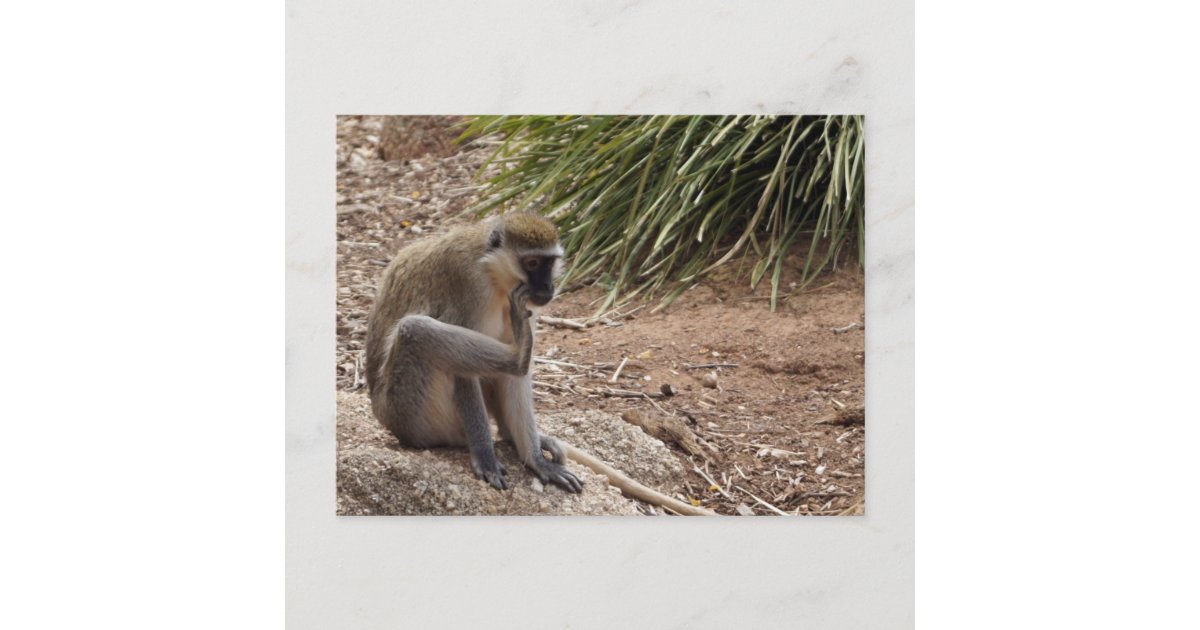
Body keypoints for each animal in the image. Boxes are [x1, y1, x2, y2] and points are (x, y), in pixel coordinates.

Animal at [363, 213, 582, 493]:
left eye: (549, 262)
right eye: (532, 263)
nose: (547, 285)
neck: (495, 275)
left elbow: (514, 382)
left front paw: (536, 460)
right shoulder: (468, 285)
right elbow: (463, 374)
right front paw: (486, 456)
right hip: (408, 416)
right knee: (413, 329)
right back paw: (519, 356)